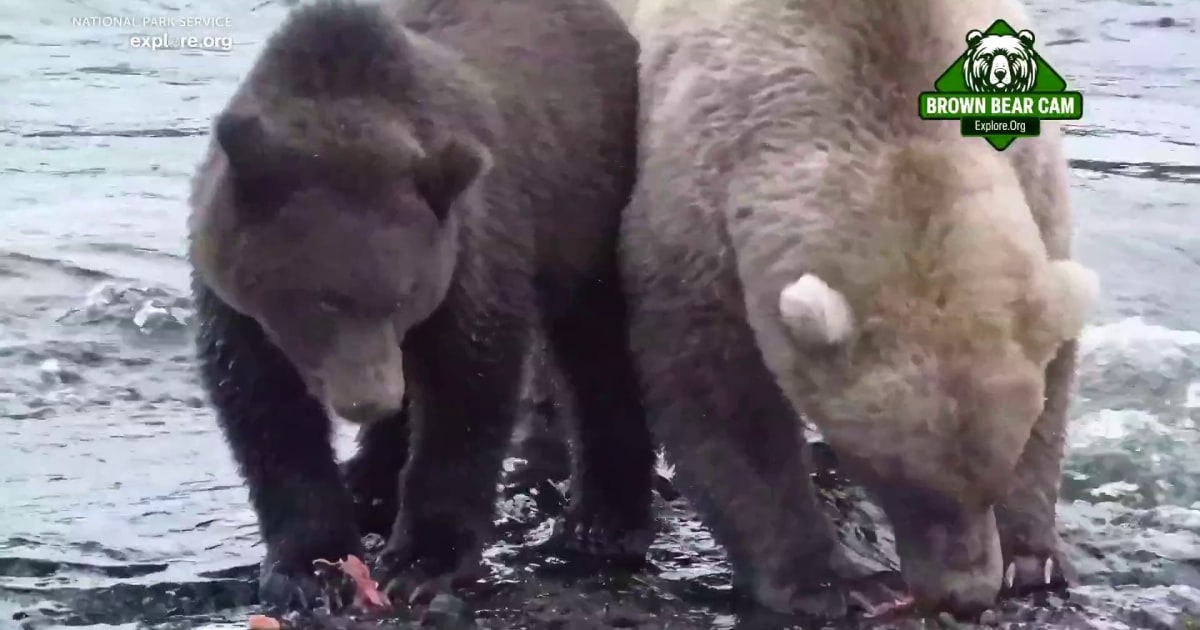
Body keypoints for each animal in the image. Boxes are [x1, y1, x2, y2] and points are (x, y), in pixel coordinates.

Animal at [187, 0, 655, 612]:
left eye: (404, 294)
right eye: (320, 299)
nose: (370, 399)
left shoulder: (470, 256)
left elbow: (467, 392)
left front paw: (420, 563)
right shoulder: (235, 302)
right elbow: (264, 409)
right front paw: (310, 566)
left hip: (588, 207)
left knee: (599, 348)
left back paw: (606, 521)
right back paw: (368, 482)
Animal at [618, 0, 1098, 619]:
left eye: (997, 473)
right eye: (896, 479)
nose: (964, 595)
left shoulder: (1033, 176)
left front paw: (1032, 558)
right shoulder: (695, 191)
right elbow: (714, 387)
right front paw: (828, 581)